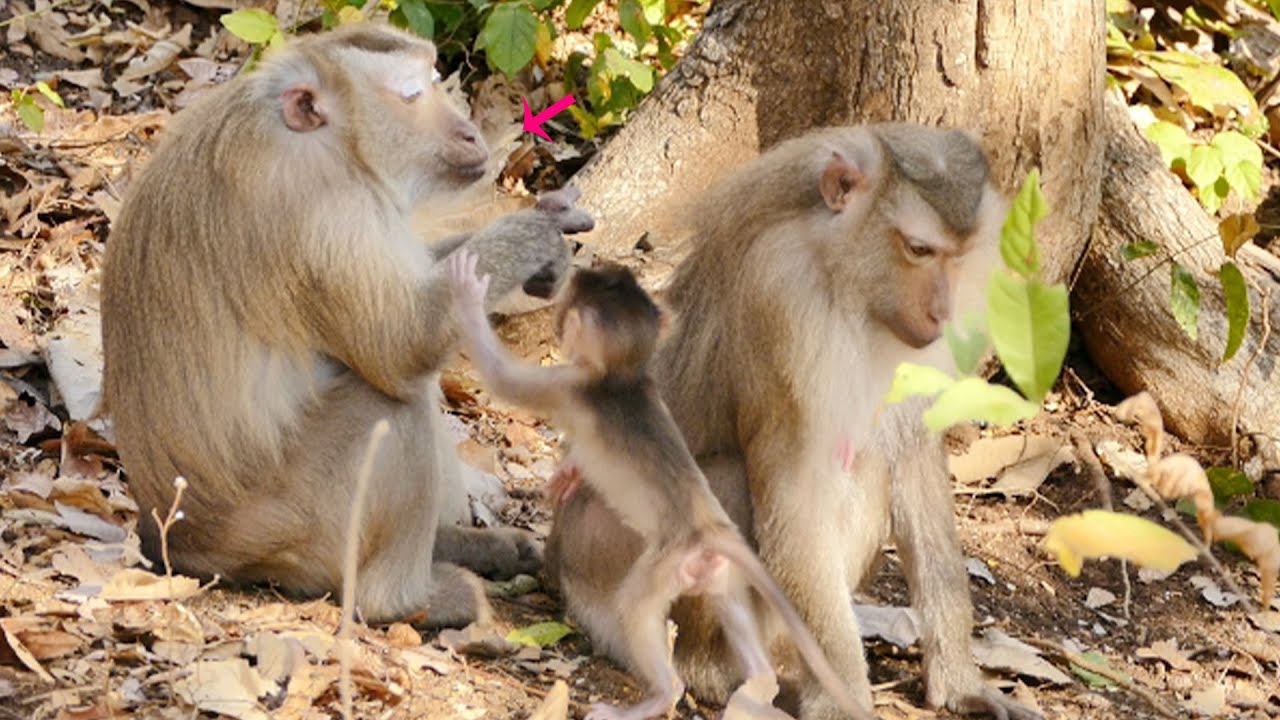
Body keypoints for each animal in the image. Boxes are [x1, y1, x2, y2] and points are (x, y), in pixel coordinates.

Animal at [100, 23, 583, 628]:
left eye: (433, 81)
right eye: (411, 95)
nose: (471, 133)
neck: (332, 143)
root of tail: (174, 540)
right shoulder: (324, 208)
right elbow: (403, 344)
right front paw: (535, 234)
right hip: (286, 525)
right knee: (394, 406)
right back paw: (409, 600)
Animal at [447, 255, 872, 720]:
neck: (622, 376)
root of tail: (710, 530)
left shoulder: (568, 385)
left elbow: (500, 377)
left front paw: (467, 295)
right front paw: (572, 472)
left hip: (668, 564)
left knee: (634, 608)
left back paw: (661, 694)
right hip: (715, 568)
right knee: (728, 602)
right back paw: (759, 679)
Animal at [544, 125, 1044, 720]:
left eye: (958, 256)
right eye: (918, 249)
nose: (941, 312)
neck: (845, 281)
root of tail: (559, 560)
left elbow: (913, 459)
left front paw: (962, 683)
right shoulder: (783, 304)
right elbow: (796, 493)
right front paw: (844, 699)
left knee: (867, 467)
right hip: (605, 563)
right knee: (725, 489)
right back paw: (715, 673)